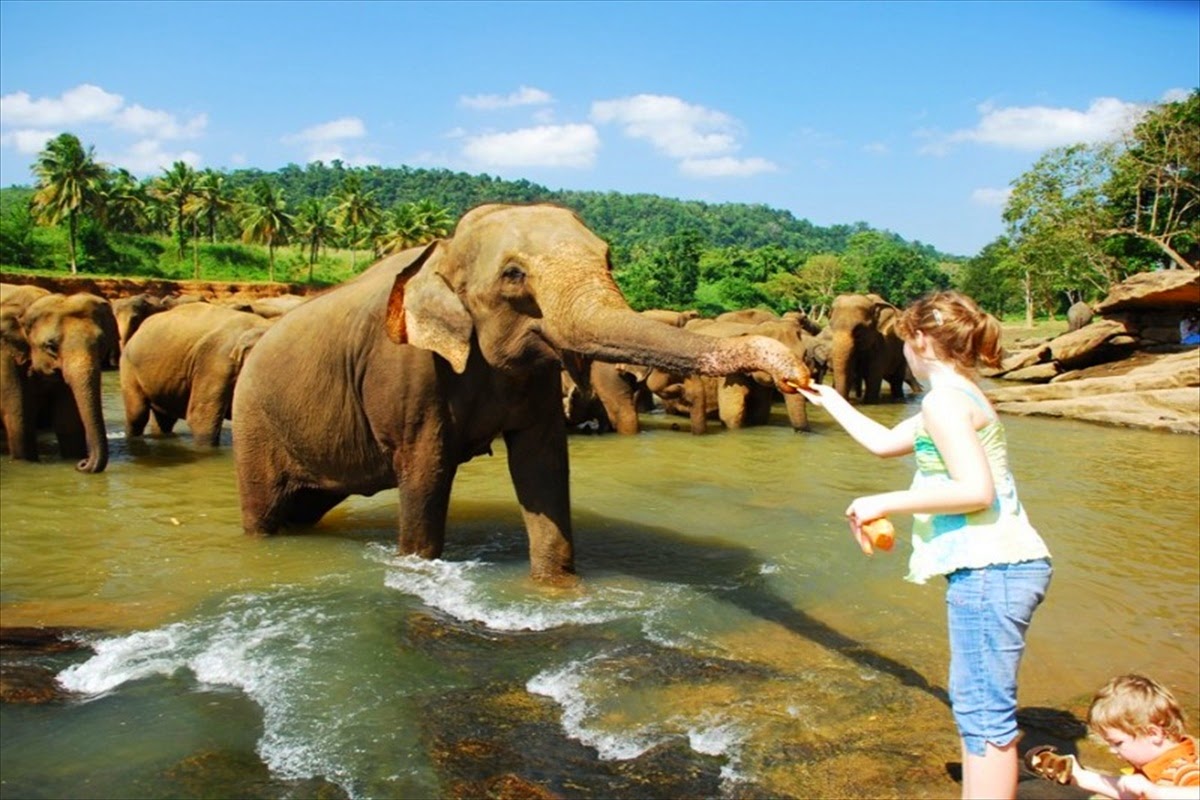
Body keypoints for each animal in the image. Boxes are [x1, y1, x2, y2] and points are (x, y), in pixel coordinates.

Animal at [1, 289, 118, 472]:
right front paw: (27, 463)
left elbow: (68, 421)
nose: (83, 463)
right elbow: (17, 416)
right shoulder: (5, 357)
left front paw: (72, 459)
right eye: (51, 347)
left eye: (101, 343)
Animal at [231, 203, 810, 584]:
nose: (798, 371)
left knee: (304, 507)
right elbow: (426, 472)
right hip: (255, 423)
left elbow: (542, 466)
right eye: (513, 275)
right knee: (264, 514)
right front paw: (418, 568)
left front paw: (555, 588)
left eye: (609, 259)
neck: (443, 249)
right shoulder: (408, 371)